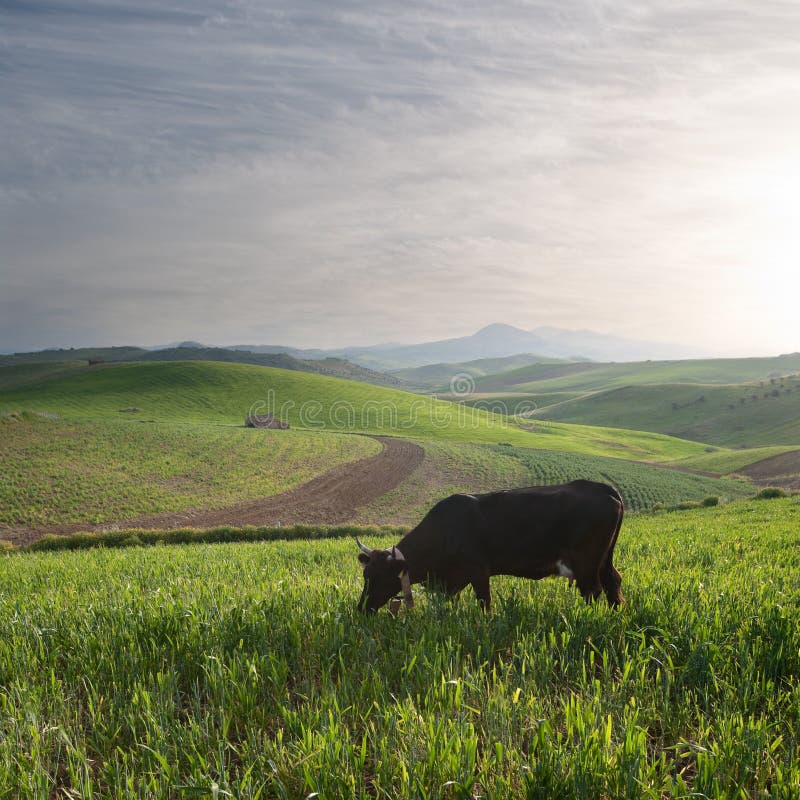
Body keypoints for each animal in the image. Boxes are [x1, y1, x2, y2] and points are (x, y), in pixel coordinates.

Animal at [355, 480, 624, 613]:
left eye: (381, 577)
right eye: (366, 575)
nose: (361, 609)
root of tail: (601, 487)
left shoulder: (478, 572)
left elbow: (485, 603)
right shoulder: (453, 581)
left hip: (586, 562)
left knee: (592, 591)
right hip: (603, 560)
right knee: (613, 582)